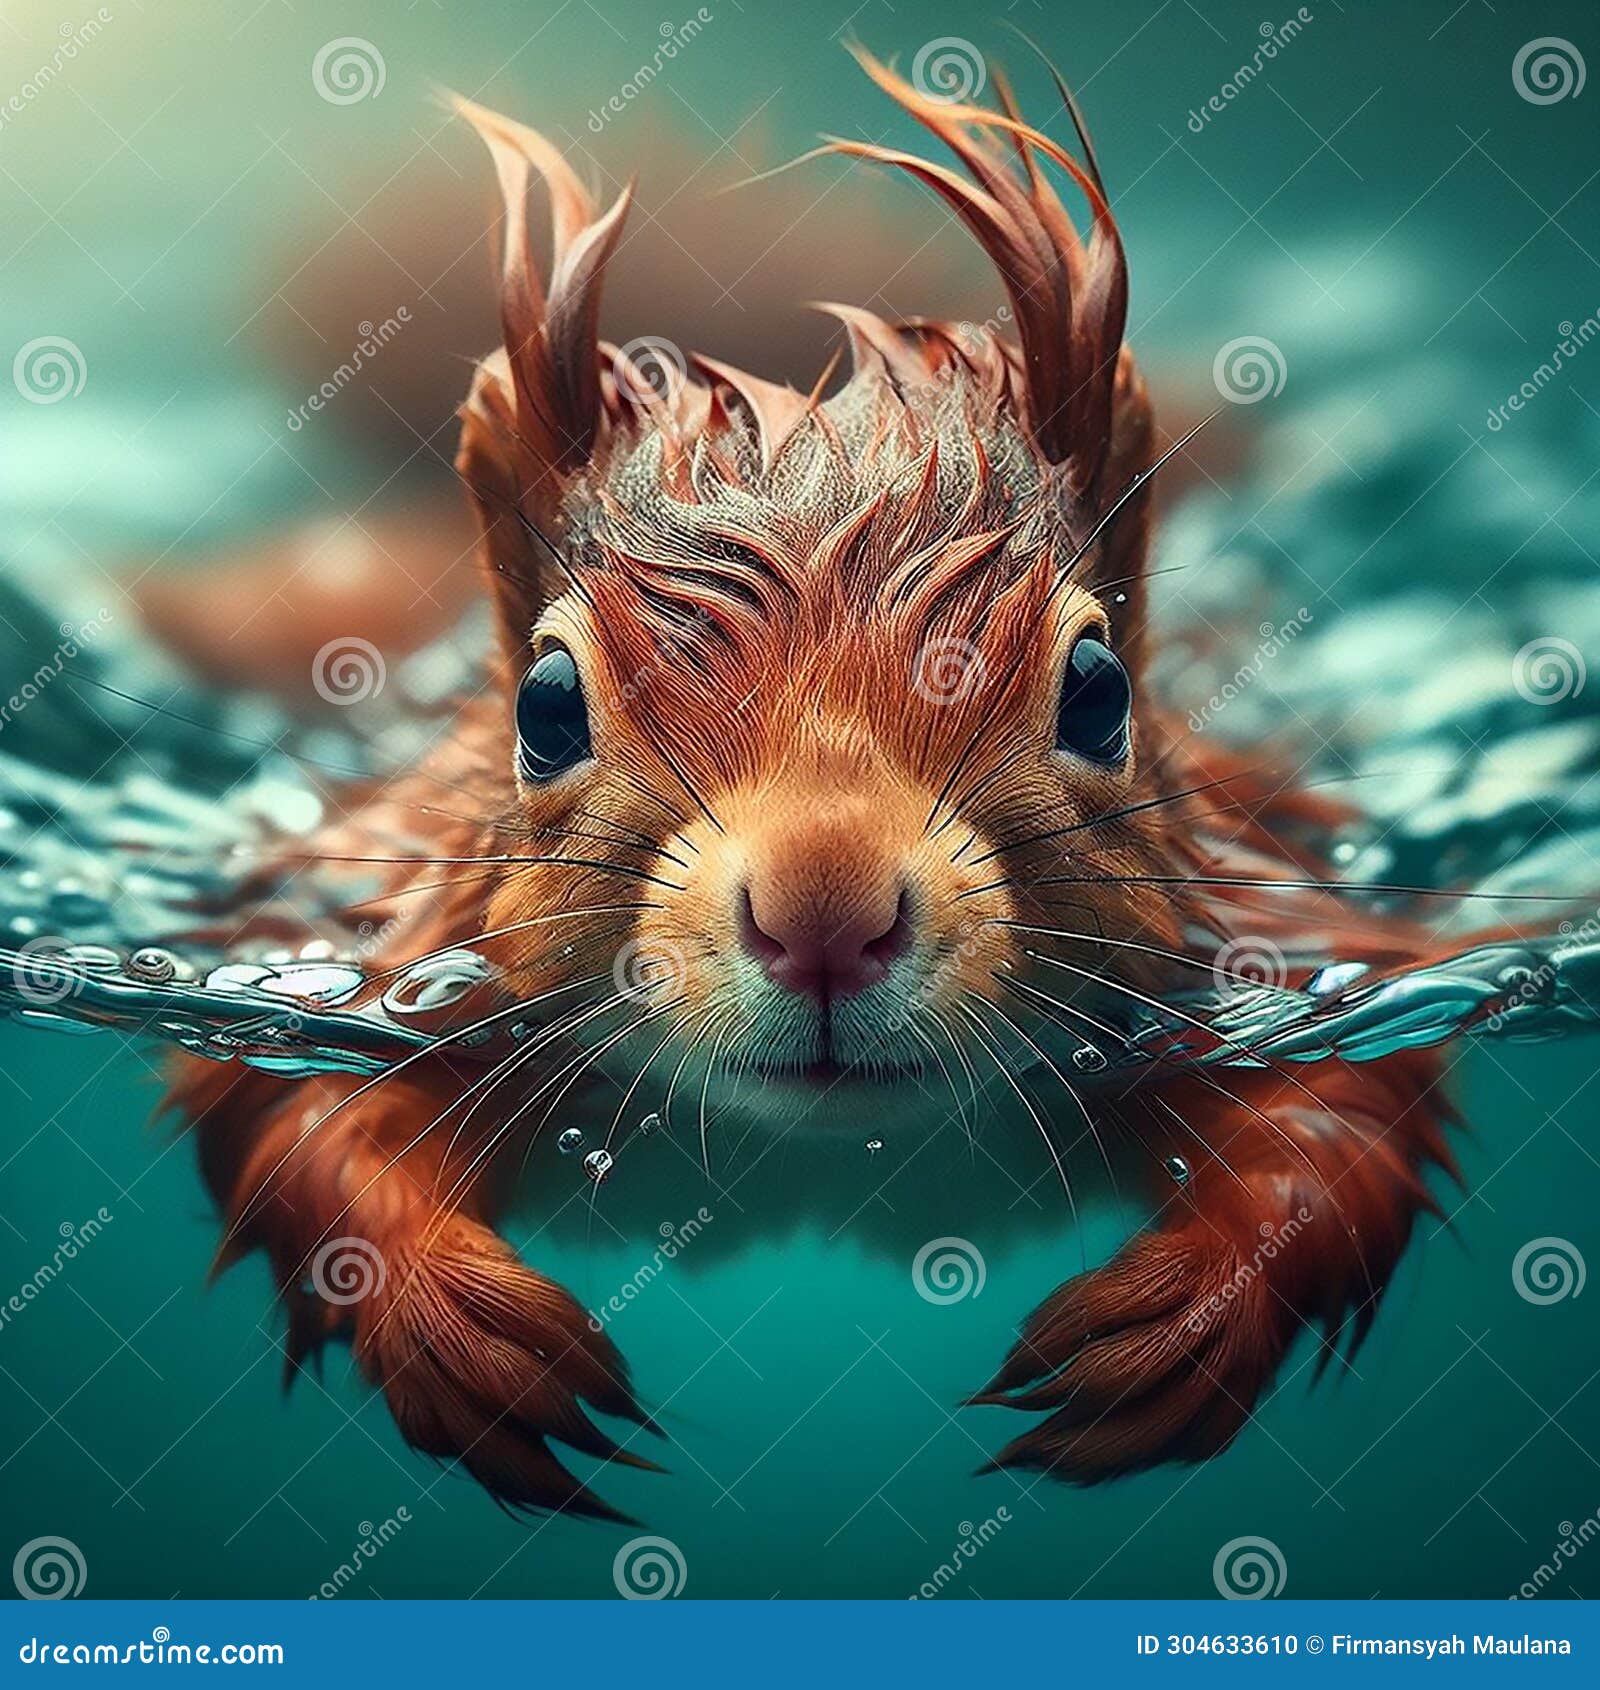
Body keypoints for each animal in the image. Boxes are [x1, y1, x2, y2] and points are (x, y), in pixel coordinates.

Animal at [167, 50, 1462, 1522]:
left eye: (1097, 691)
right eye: (544, 708)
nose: (825, 915)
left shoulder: (1274, 945)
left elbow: (1351, 1117)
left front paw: (1180, 1315)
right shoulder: (361, 966)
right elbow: (297, 1120)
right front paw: (463, 1327)